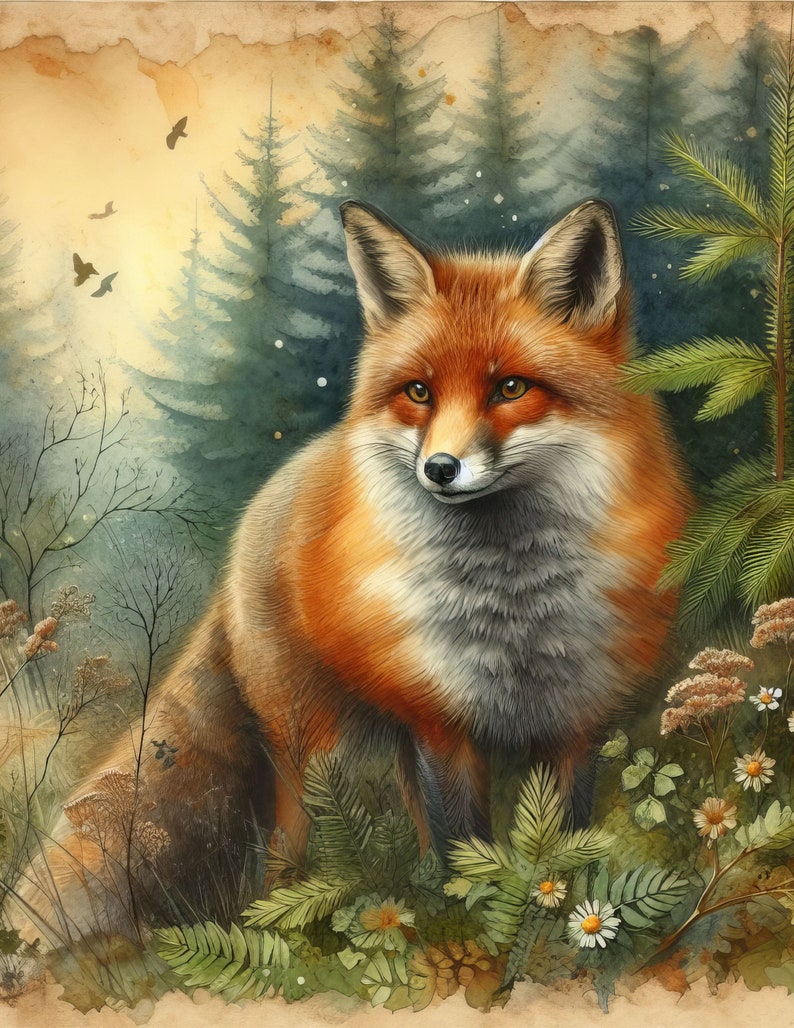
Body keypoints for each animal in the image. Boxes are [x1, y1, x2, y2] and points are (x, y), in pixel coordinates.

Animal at [16, 198, 690, 942]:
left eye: (511, 387)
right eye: (419, 392)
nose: (440, 468)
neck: (511, 607)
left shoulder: (576, 720)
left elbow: (564, 837)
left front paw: (563, 919)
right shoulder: (441, 724)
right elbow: (466, 844)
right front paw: (475, 928)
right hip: (316, 754)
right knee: (289, 850)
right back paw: (293, 922)